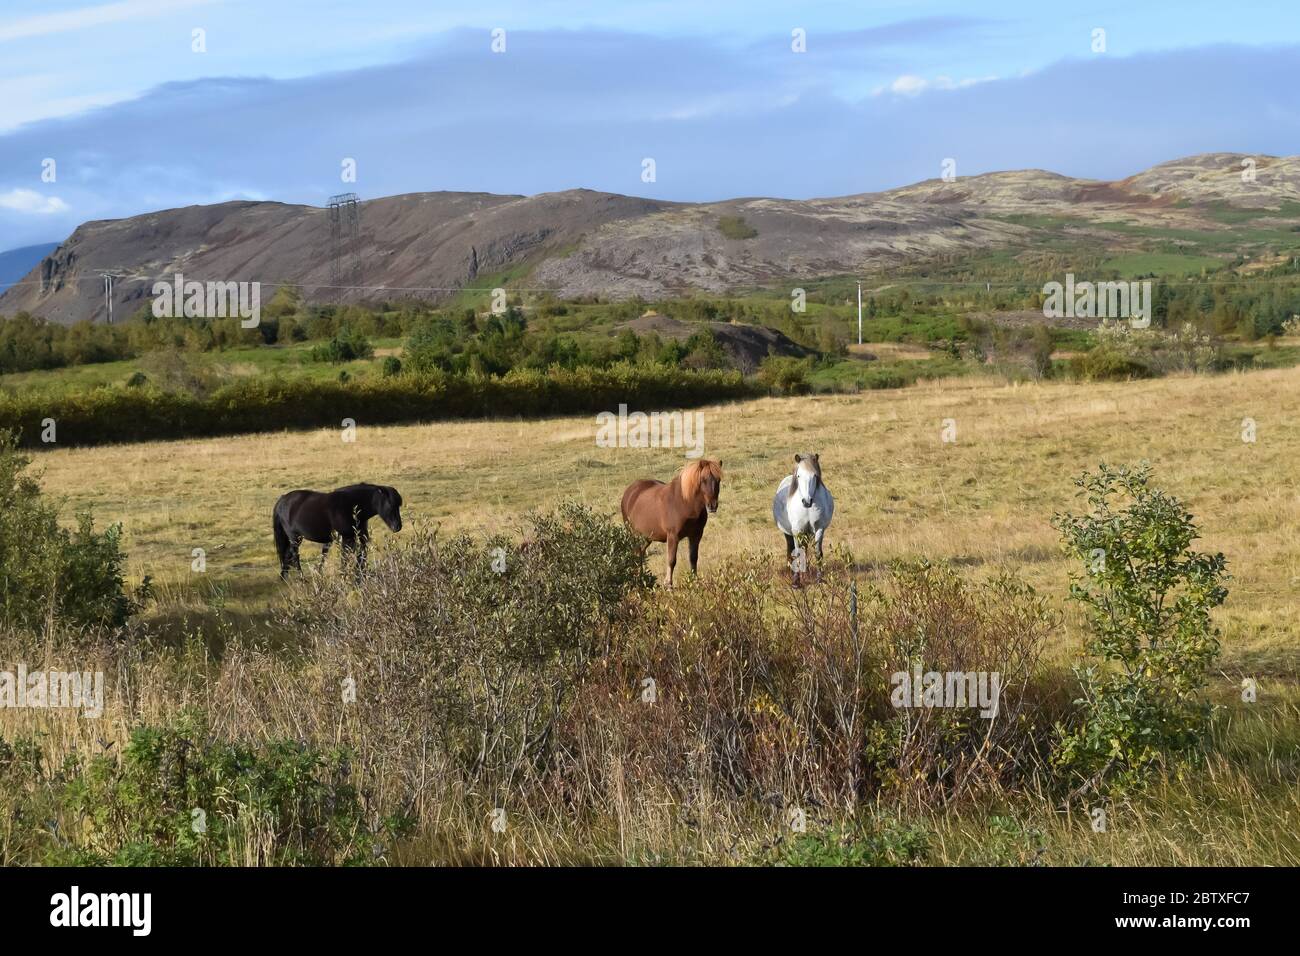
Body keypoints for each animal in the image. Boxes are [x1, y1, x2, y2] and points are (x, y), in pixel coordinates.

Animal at [273, 483, 403, 579]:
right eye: (390, 505)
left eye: (399, 505)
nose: (397, 527)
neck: (350, 504)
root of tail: (282, 499)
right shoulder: (346, 537)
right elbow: (345, 558)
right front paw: (345, 575)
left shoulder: (360, 535)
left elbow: (361, 553)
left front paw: (360, 573)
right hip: (294, 537)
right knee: (295, 556)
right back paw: (301, 578)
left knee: (287, 554)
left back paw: (284, 577)